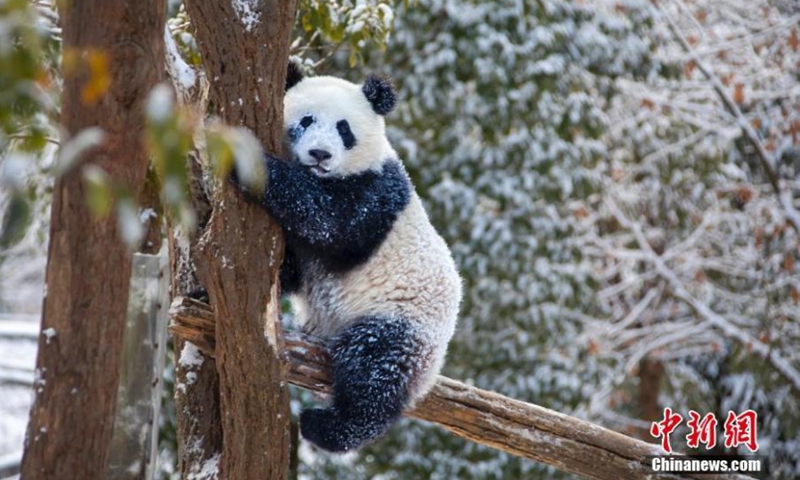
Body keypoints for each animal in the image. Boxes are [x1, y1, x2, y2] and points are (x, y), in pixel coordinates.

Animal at [232, 63, 462, 453]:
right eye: (306, 120)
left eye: (344, 128)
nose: (320, 154)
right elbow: (292, 267)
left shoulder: (373, 194)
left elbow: (325, 218)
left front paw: (242, 157)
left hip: (402, 318)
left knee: (374, 373)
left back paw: (328, 427)